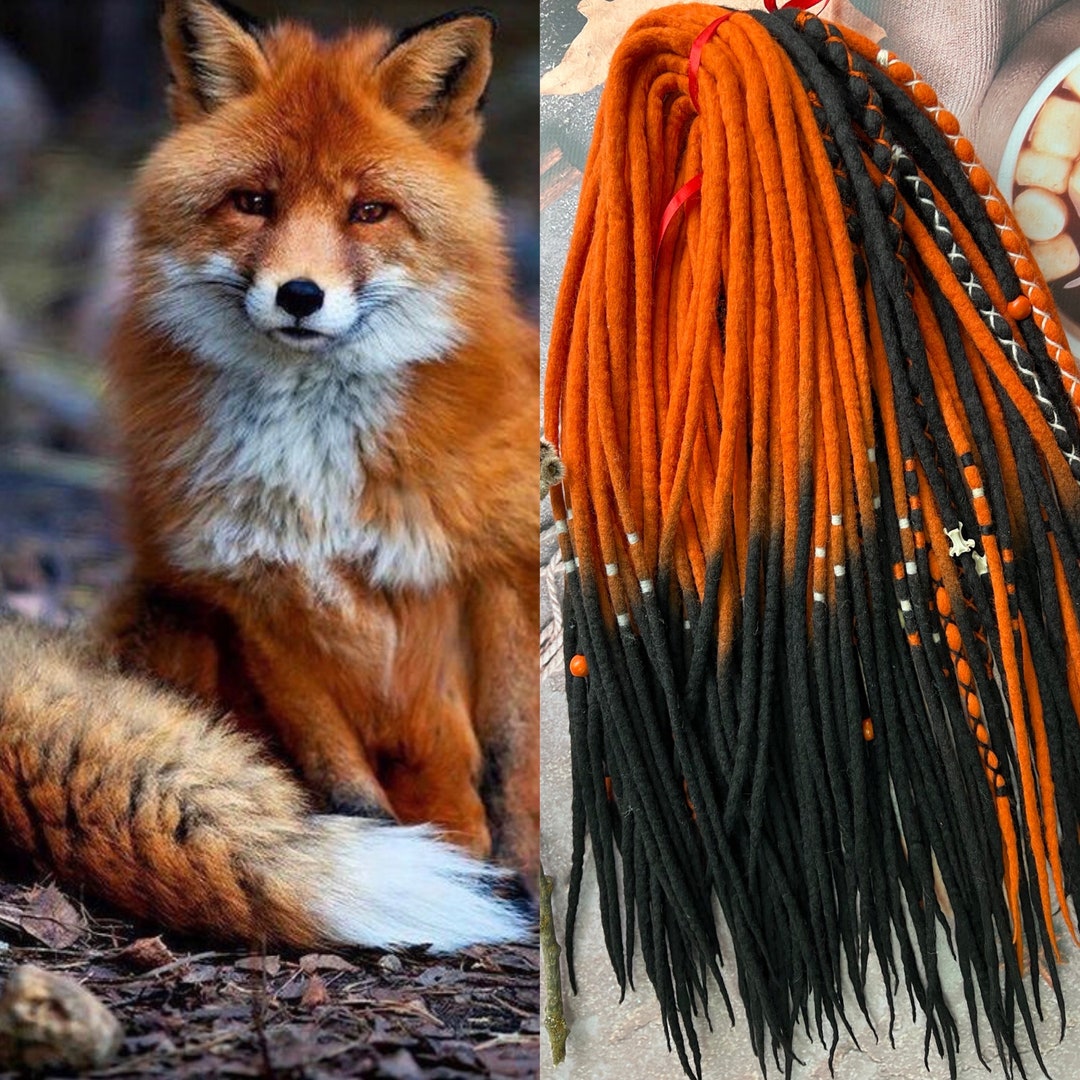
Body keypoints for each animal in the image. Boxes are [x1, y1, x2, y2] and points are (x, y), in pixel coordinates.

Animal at [0, 0, 538, 953]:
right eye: (253, 202)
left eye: (369, 211)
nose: (299, 295)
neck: (316, 458)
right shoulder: (250, 590)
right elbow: (340, 776)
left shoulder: (498, 562)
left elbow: (512, 759)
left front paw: (529, 873)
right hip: (167, 614)